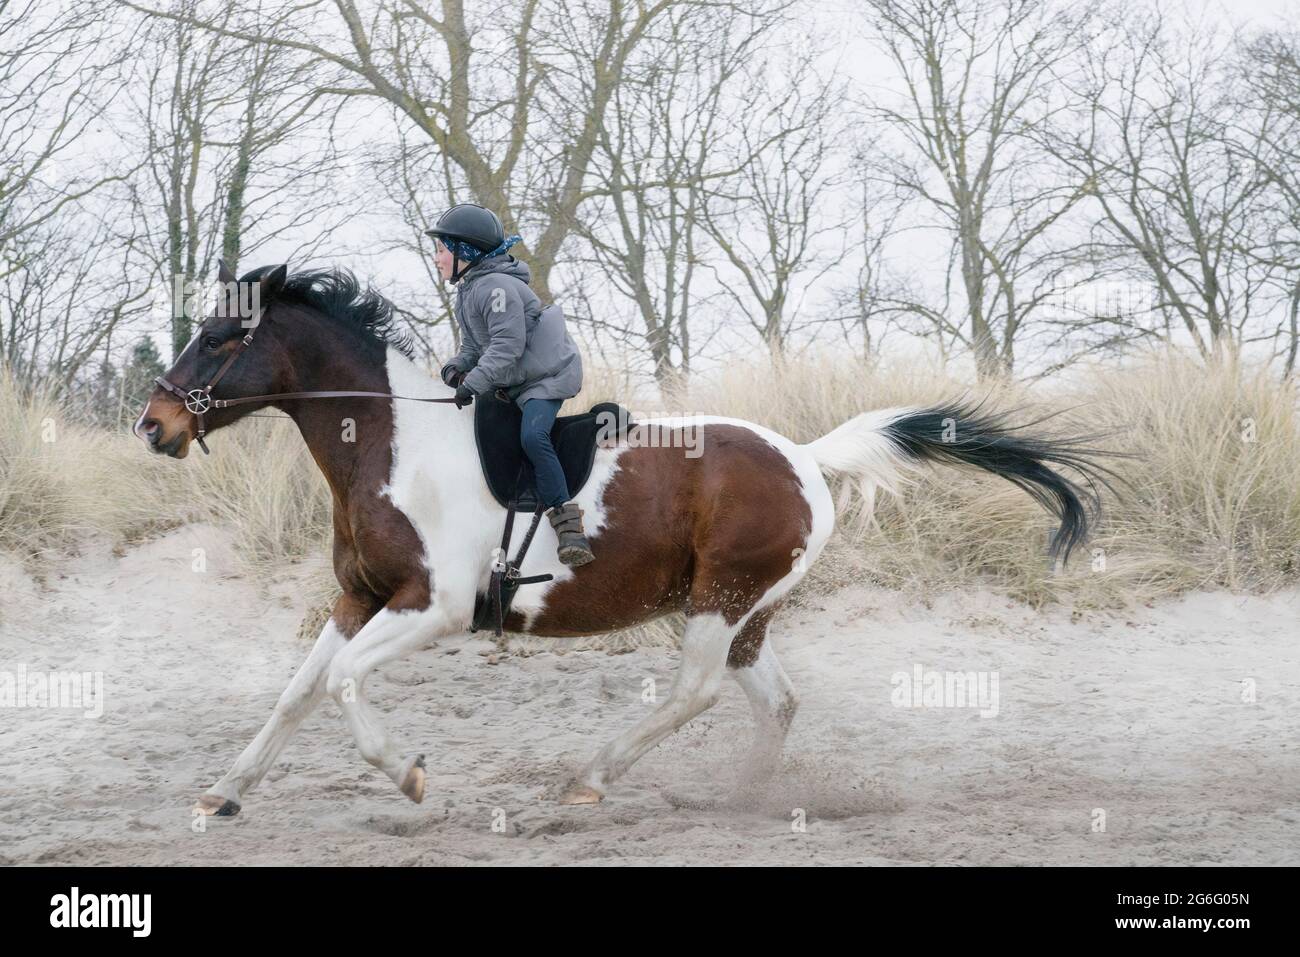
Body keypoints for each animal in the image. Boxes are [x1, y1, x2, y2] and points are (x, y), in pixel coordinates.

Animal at [134, 262, 1107, 817]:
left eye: (217, 337)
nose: (153, 425)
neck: (388, 441)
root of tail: (806, 456)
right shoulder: (360, 596)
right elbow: (298, 692)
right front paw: (226, 791)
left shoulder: (432, 606)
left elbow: (340, 683)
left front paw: (408, 775)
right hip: (746, 610)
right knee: (774, 700)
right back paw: (745, 800)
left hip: (720, 600)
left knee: (695, 690)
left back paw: (592, 776)